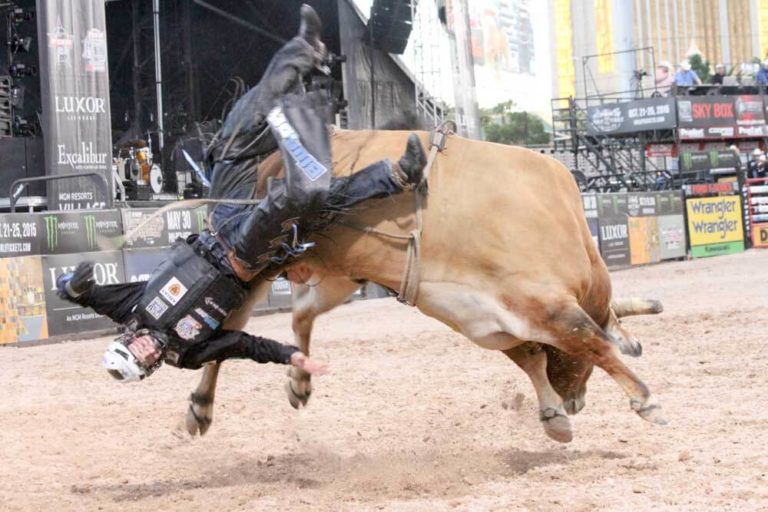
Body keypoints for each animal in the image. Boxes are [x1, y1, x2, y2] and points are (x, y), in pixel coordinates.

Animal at [184, 129, 665, 444]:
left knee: (301, 314)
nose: (576, 402)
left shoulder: (487, 321)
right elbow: (590, 343)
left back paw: (298, 381)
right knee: (230, 326)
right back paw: (201, 404)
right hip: (258, 260)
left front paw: (553, 417)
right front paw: (645, 401)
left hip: (340, 272)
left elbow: (532, 359)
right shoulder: (542, 306)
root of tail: (269, 160)